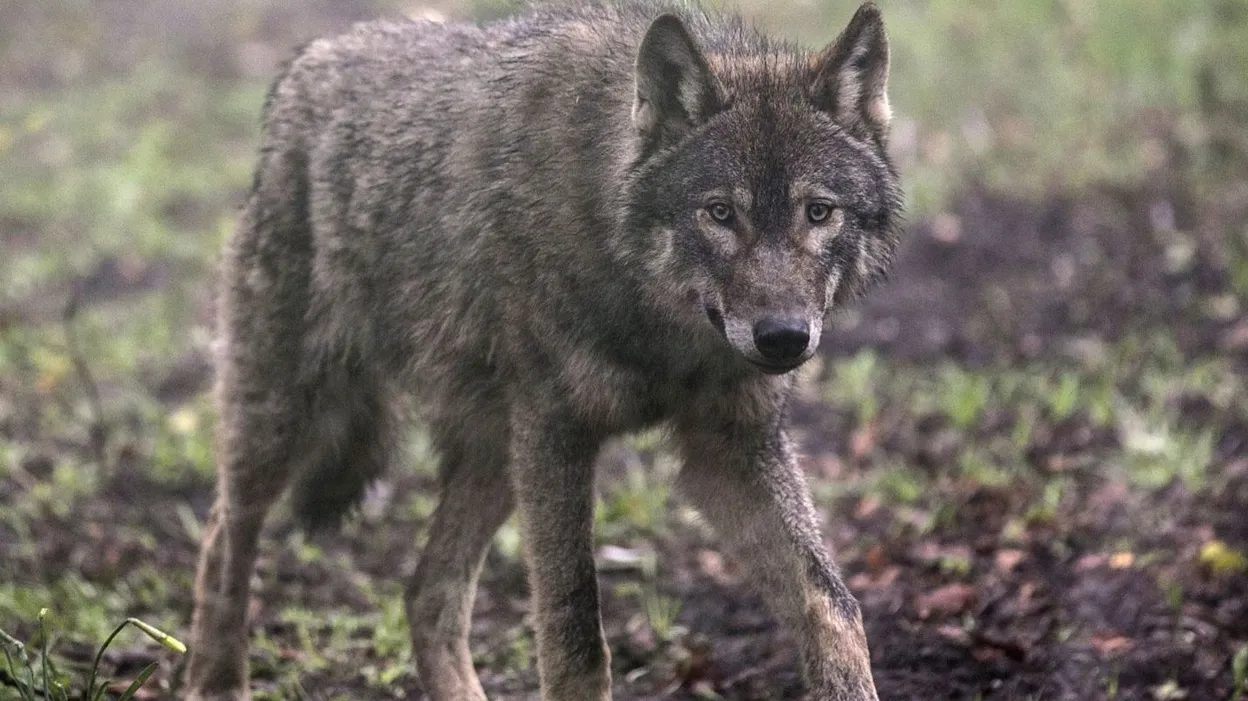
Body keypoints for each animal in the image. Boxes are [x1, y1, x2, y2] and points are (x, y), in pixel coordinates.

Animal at [183, 1, 902, 699]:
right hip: (288, 418)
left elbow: (832, 605)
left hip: (497, 454)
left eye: (819, 212)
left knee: (425, 592)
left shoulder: (728, 448)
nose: (783, 336)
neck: (657, 327)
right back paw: (216, 681)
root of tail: (311, 58)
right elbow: (575, 637)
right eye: (720, 213)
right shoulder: (558, 436)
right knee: (224, 536)